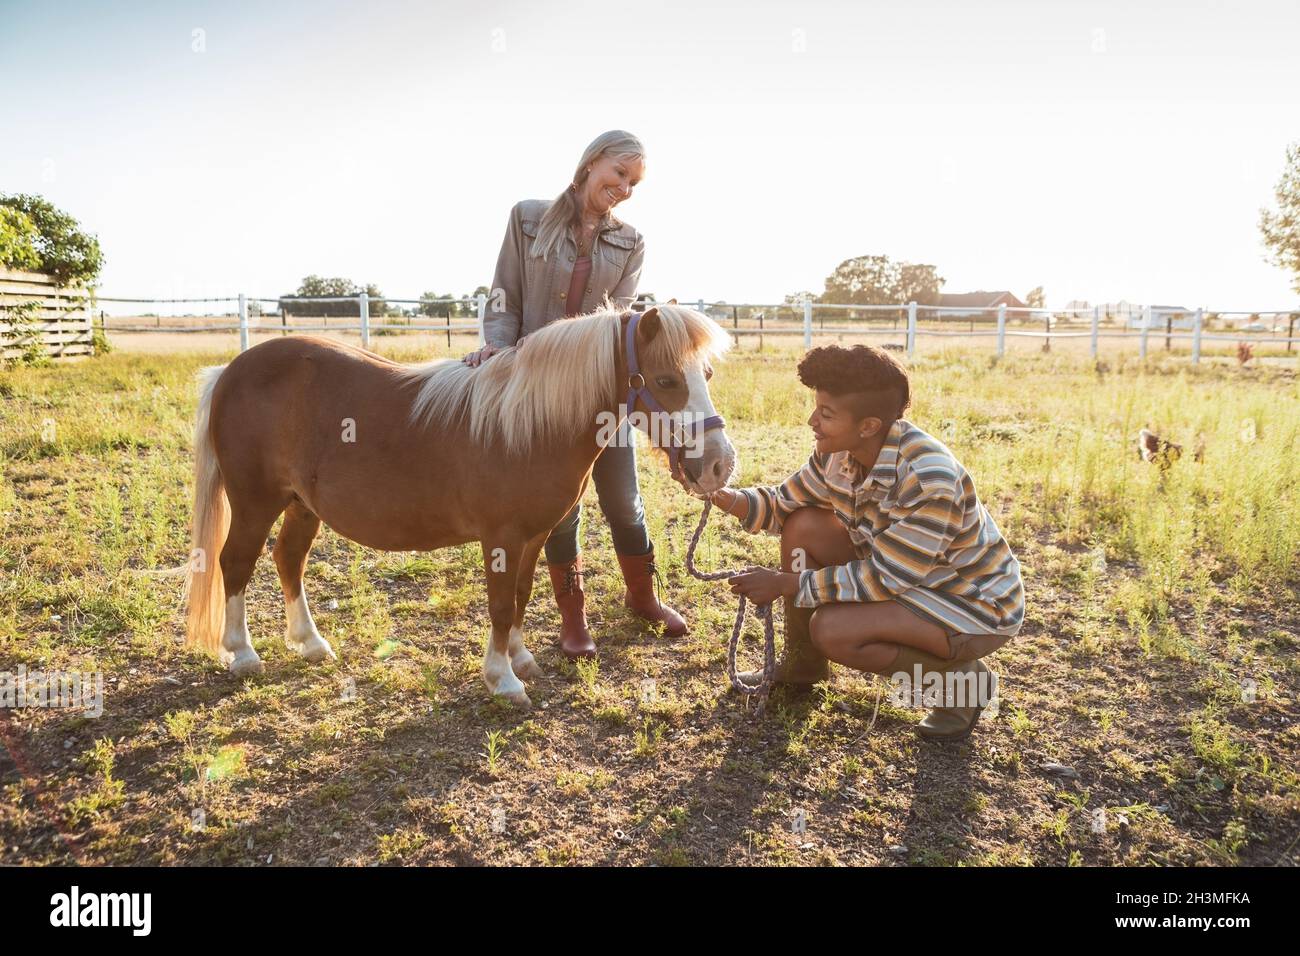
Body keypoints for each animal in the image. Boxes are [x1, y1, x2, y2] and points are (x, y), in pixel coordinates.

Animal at [182, 305, 736, 707]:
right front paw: (503, 680)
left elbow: (521, 597)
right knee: (236, 563)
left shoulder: (533, 536)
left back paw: (310, 643)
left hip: (301, 505)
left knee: (288, 560)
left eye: (707, 373)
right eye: (665, 380)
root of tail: (231, 370)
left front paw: (521, 659)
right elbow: (499, 604)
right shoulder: (501, 538)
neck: (527, 424)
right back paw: (243, 653)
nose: (719, 465)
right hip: (255, 502)